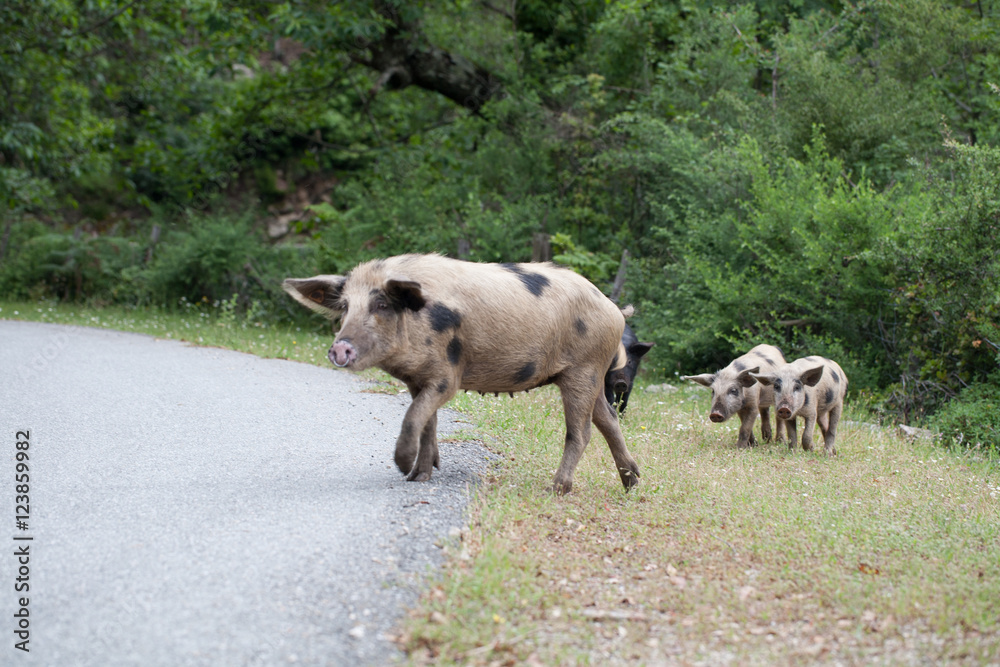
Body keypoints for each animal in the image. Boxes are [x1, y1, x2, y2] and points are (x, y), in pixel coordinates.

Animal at [282, 253, 641, 494]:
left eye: (382, 304)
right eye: (345, 307)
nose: (339, 348)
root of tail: (613, 308)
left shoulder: (447, 376)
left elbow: (413, 416)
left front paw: (402, 467)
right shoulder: (418, 380)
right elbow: (426, 422)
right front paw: (419, 477)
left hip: (584, 369)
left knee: (581, 432)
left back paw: (556, 489)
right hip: (592, 374)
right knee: (609, 419)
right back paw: (632, 484)